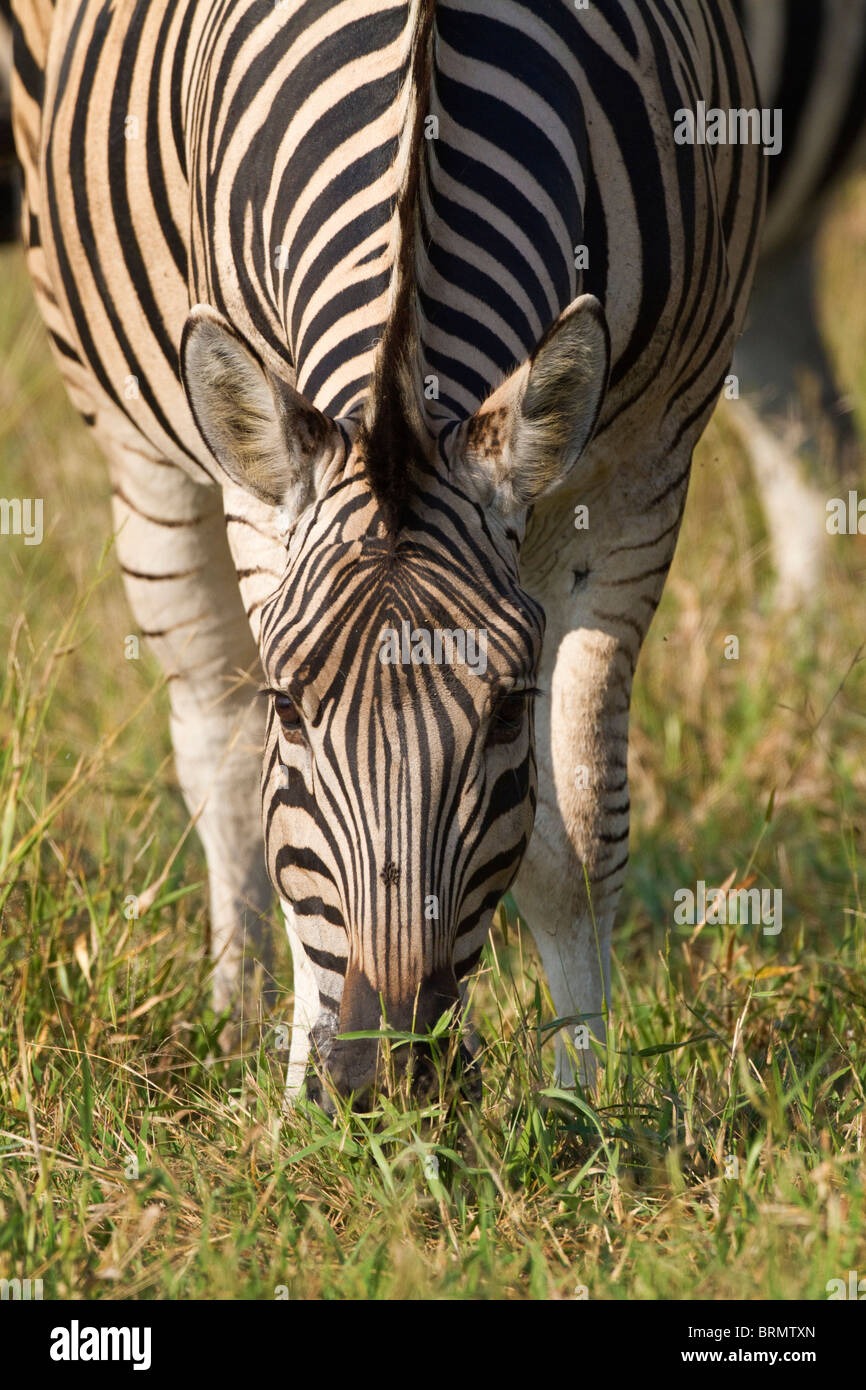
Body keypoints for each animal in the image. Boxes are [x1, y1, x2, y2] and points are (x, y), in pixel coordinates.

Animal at [9, 0, 764, 1107]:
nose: (384, 1078)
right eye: (291, 707)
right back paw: (235, 1008)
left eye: (508, 710)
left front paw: (579, 1103)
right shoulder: (263, 502)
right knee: (215, 753)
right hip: (133, 434)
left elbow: (578, 834)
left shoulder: (642, 479)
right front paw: (298, 1099)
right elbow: (275, 814)